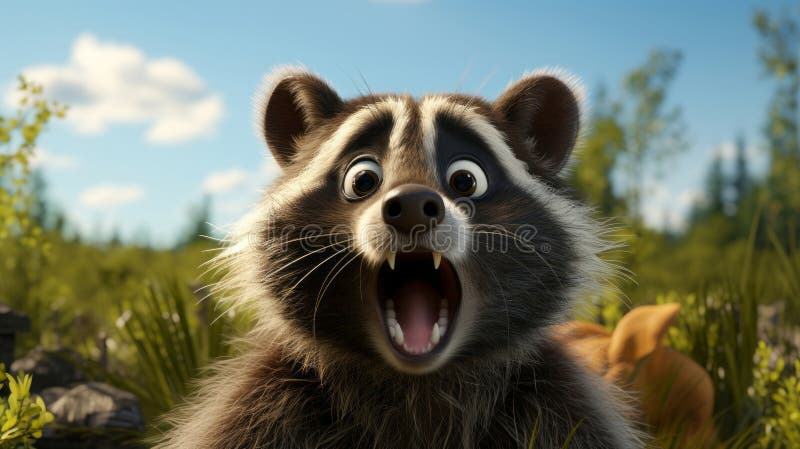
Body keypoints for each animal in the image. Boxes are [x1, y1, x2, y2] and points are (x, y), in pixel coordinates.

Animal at [156, 67, 643, 449]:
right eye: (362, 179)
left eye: (466, 179)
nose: (410, 205)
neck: (418, 382)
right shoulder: (264, 403)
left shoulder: (557, 402)